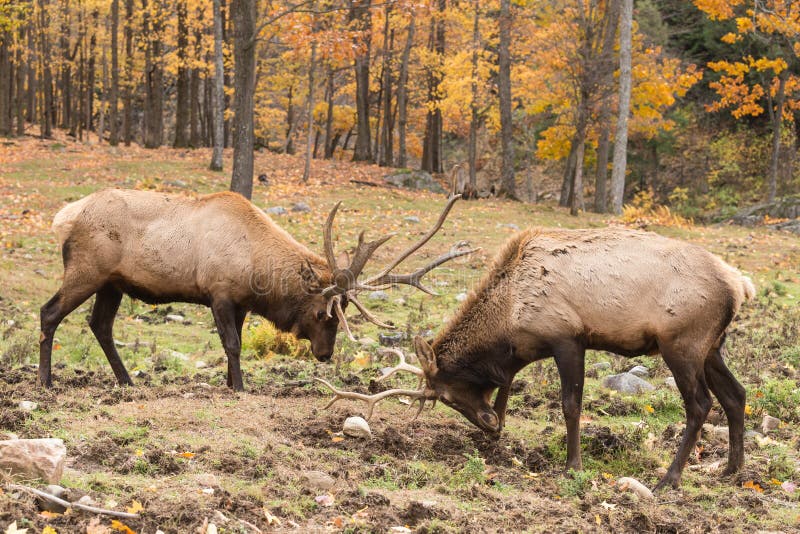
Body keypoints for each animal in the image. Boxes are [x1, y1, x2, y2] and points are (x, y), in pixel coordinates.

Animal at [40, 189, 475, 391]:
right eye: (323, 313)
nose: (324, 355)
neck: (255, 267)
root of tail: (63, 217)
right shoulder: (218, 292)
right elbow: (232, 344)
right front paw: (241, 386)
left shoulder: (241, 303)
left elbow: (232, 344)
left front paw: (230, 383)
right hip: (86, 271)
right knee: (50, 312)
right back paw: (46, 381)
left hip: (112, 283)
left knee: (100, 326)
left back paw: (127, 381)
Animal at [315, 227, 756, 490]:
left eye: (449, 395)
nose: (487, 425)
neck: (510, 318)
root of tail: (740, 285)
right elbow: (508, 386)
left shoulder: (567, 336)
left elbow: (571, 404)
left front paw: (573, 465)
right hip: (712, 346)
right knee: (737, 395)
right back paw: (731, 470)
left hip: (681, 343)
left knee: (700, 404)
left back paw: (670, 478)